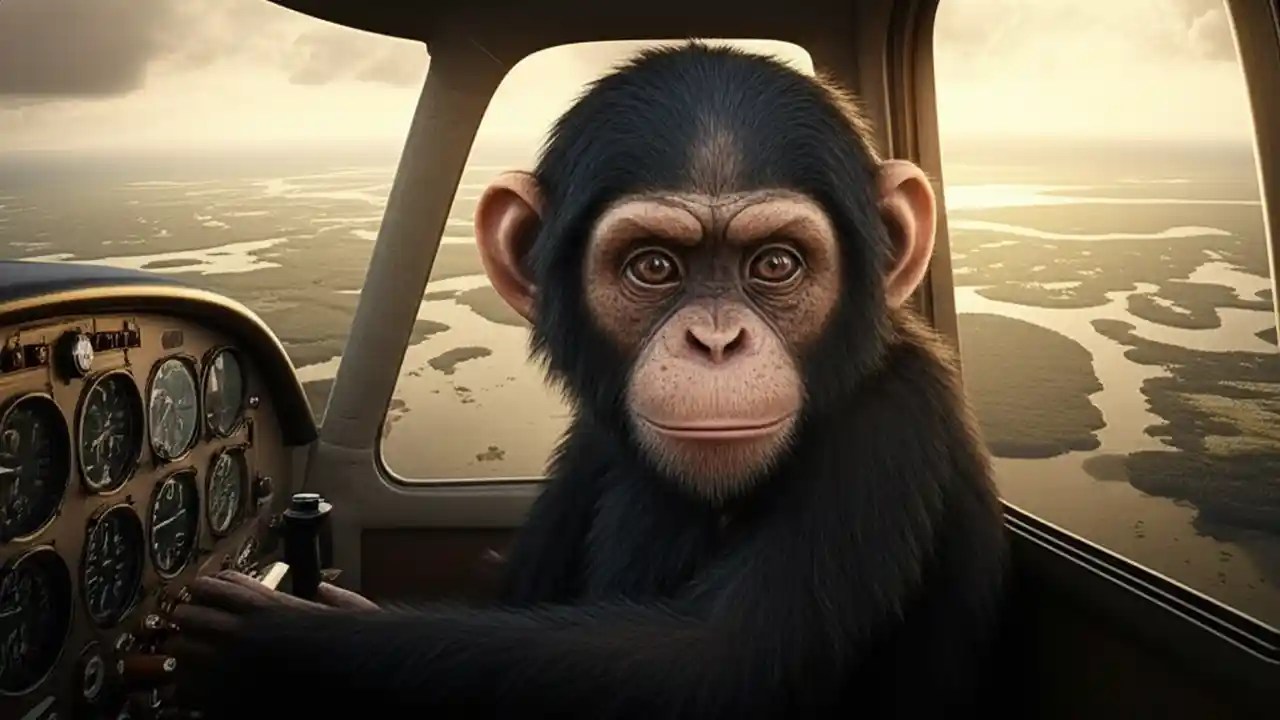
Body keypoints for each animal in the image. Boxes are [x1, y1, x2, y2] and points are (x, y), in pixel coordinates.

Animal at [166, 41, 1008, 719]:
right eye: (653, 267)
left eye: (775, 263)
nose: (716, 341)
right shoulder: (590, 439)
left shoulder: (892, 428)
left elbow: (709, 666)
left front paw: (280, 636)